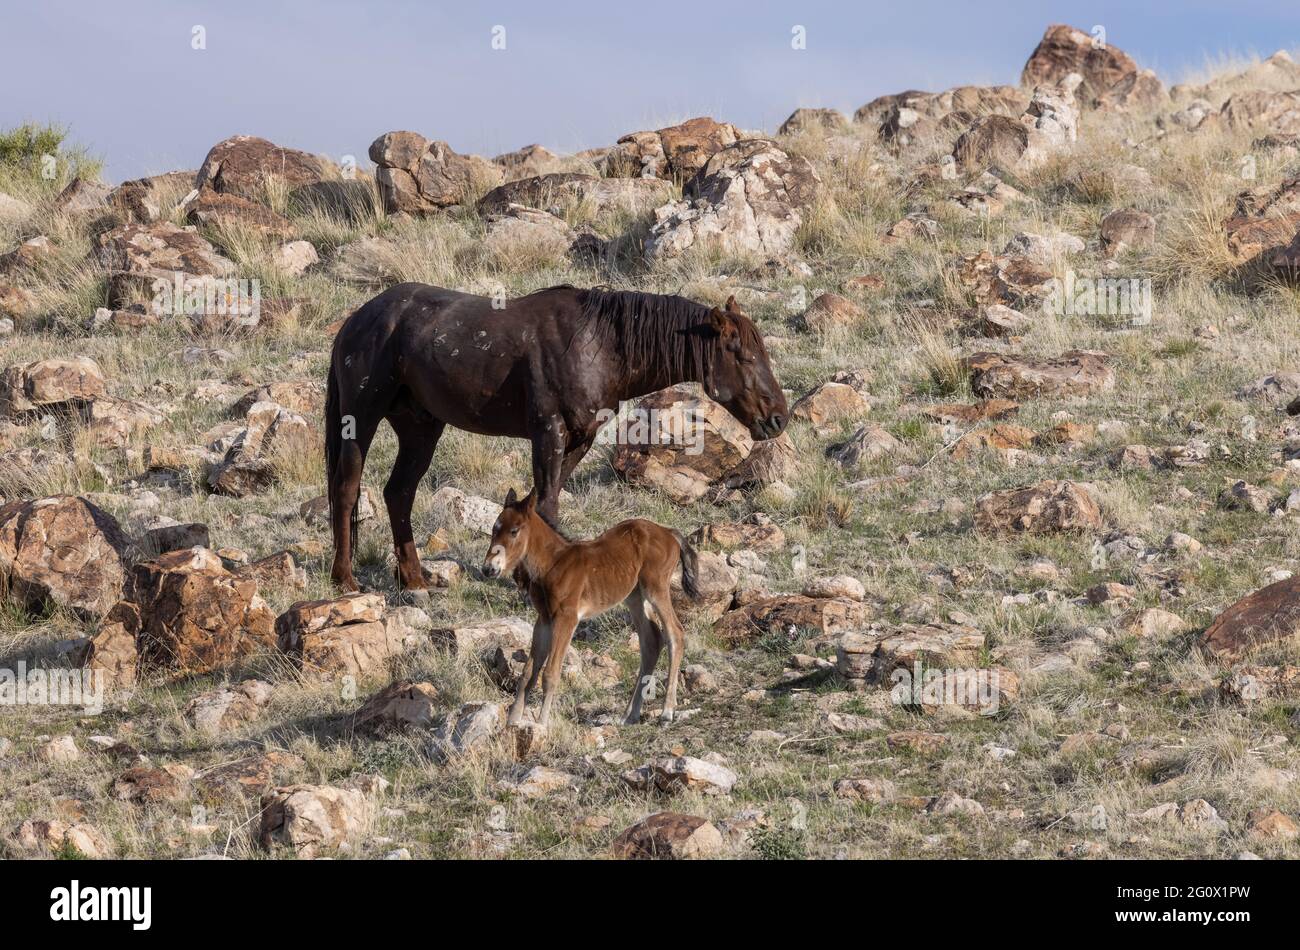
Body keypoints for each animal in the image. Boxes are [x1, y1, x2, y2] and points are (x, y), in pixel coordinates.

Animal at [325, 282, 787, 593]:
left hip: (420, 427)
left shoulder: (580, 439)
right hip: (360, 418)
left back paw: (414, 580)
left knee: (399, 493)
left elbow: (545, 504)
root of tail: (357, 320)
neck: (598, 343)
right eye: (745, 357)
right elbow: (546, 504)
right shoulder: (548, 432)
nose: (778, 418)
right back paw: (345, 579)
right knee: (347, 490)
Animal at [481, 487, 699, 728]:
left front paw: (542, 724)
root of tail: (669, 532)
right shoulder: (544, 618)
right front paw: (513, 721)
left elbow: (550, 673)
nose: (489, 568)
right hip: (634, 597)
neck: (553, 564)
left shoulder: (567, 617)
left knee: (675, 633)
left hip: (656, 589)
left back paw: (666, 712)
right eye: (494, 528)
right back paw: (629, 715)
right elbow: (528, 672)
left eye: (514, 531)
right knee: (651, 642)